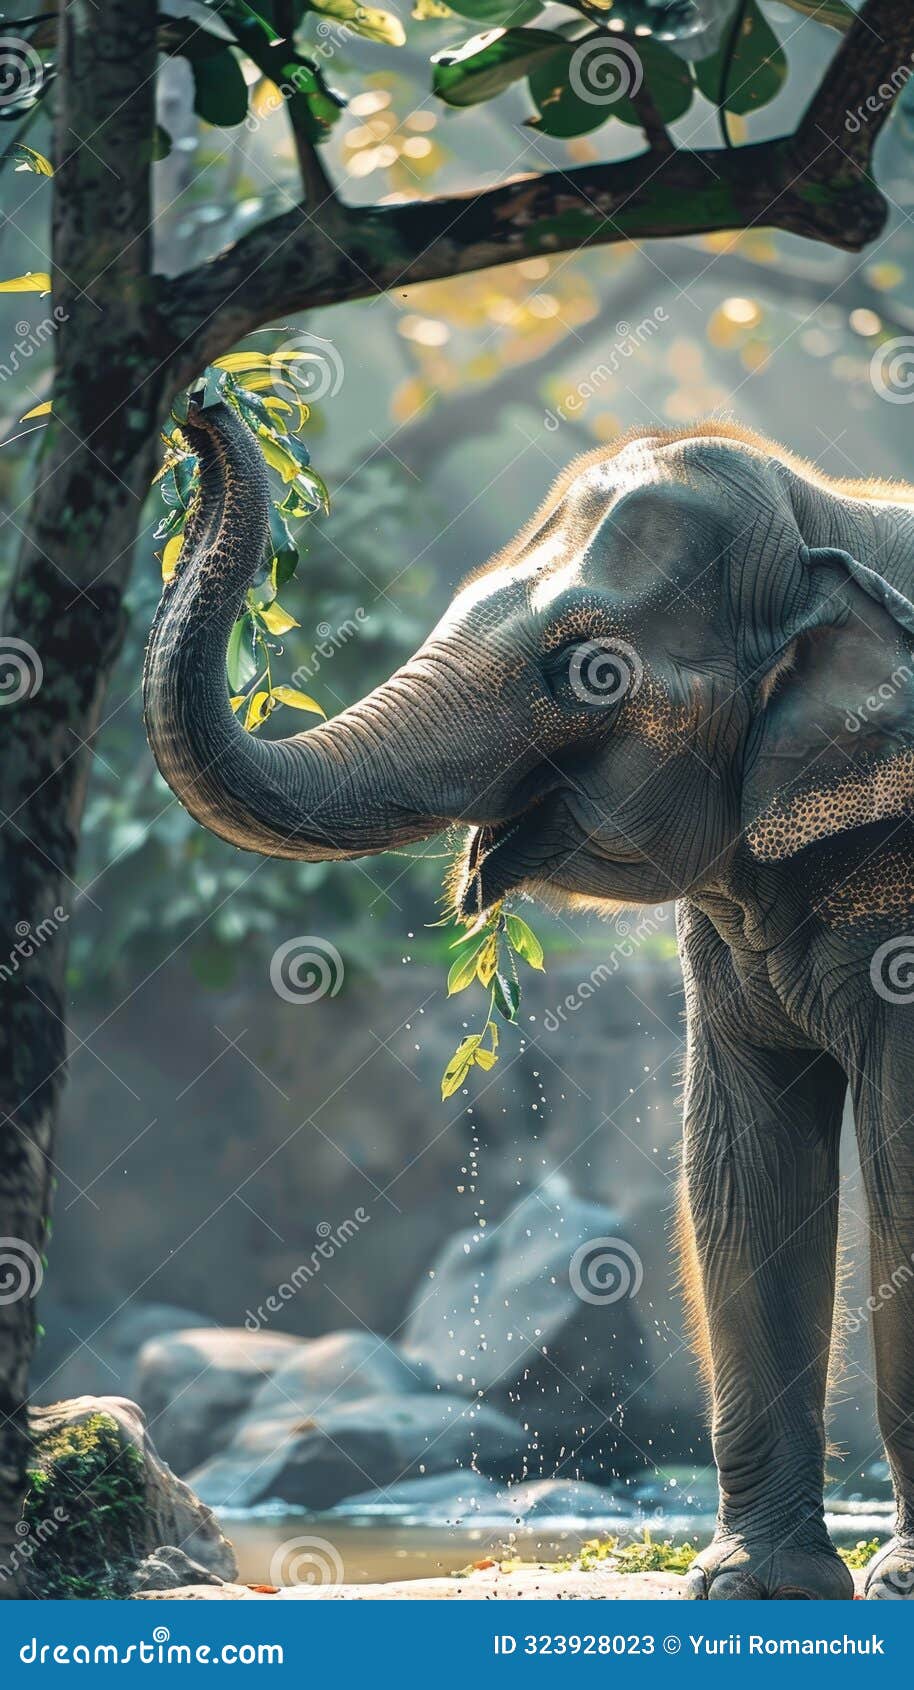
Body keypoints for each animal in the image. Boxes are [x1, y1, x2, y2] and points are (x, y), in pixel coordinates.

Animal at [144, 398, 914, 1601]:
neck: (831, 514)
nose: (203, 409)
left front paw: (892, 1582)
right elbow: (739, 1171)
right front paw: (747, 1584)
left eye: (588, 671)